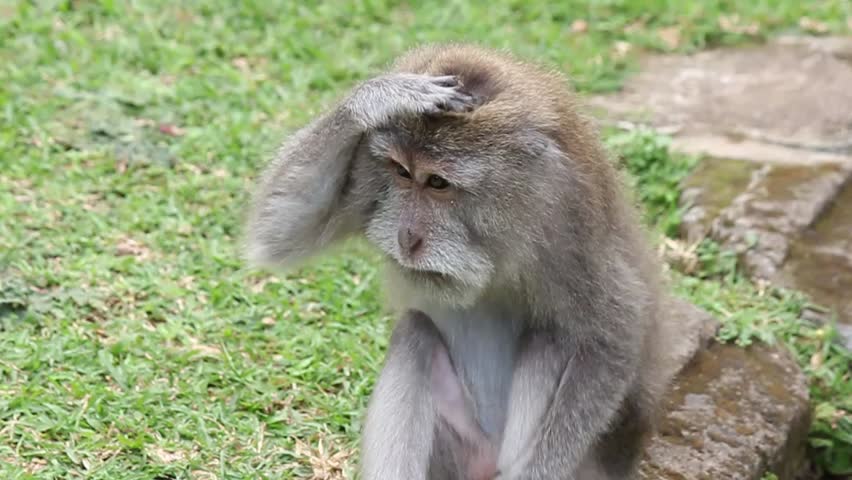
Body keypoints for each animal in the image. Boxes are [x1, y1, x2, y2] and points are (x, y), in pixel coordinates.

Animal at [244, 44, 680, 479]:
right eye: (402, 172)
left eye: (438, 183)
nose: (407, 237)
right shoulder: (368, 166)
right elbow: (282, 230)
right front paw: (382, 96)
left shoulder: (570, 218)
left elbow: (614, 337)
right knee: (415, 332)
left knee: (553, 337)